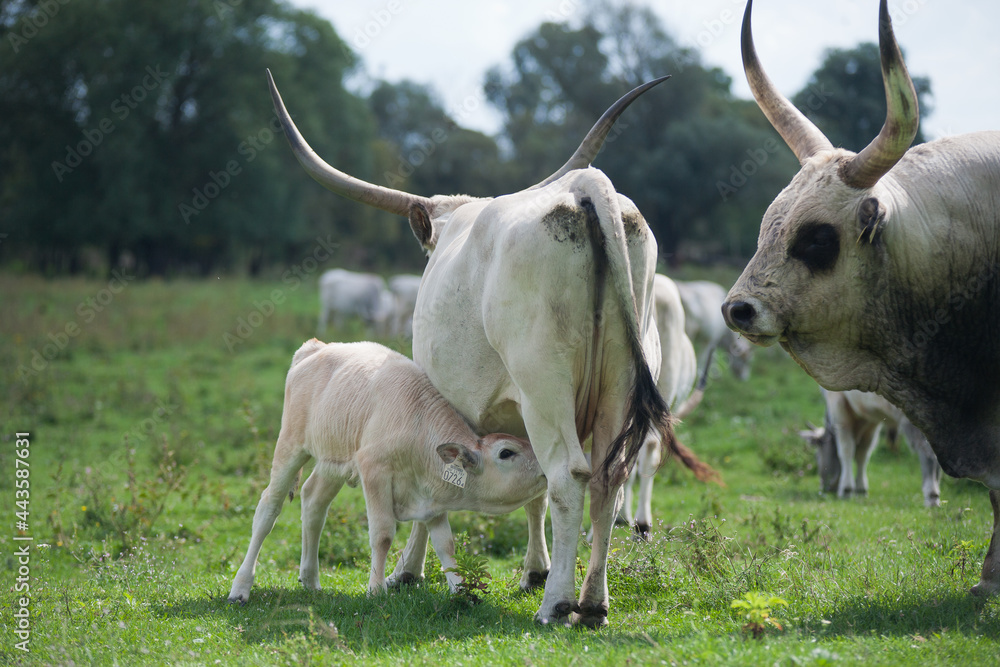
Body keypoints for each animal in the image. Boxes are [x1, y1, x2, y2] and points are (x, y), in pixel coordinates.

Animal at [227, 339, 547, 603]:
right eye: (507, 452)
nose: (545, 463)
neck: (419, 429)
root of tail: (316, 347)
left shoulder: (431, 499)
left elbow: (446, 544)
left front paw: (460, 589)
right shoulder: (374, 471)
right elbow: (382, 535)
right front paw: (376, 589)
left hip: (334, 461)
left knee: (314, 502)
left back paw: (310, 579)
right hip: (291, 447)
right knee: (268, 508)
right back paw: (240, 587)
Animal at [267, 70, 718, 626]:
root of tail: (587, 187)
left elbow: (444, 488)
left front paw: (407, 572)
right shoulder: (516, 415)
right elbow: (531, 493)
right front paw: (533, 569)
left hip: (545, 385)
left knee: (568, 477)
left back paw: (557, 604)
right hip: (619, 385)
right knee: (606, 482)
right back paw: (593, 602)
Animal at [799, 389, 943, 507]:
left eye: (817, 456)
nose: (825, 487)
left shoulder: (838, 405)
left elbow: (846, 449)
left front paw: (846, 489)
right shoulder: (871, 420)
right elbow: (863, 453)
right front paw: (861, 489)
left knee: (926, 450)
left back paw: (931, 493)